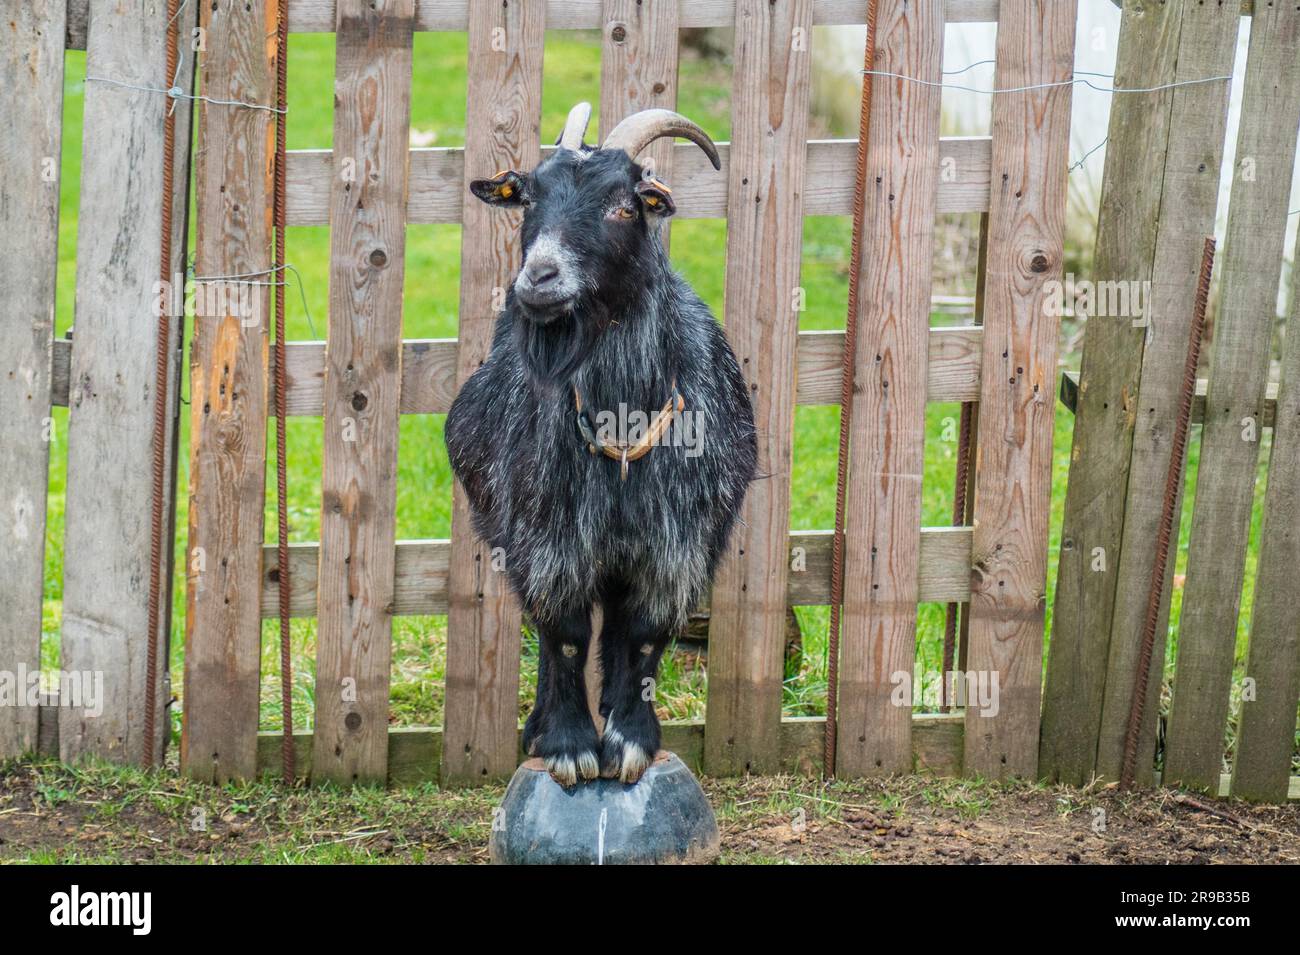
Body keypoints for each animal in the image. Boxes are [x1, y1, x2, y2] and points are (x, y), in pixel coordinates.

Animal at [445, 103, 757, 786]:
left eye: (624, 205)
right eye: (529, 196)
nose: (538, 278)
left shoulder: (676, 544)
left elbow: (642, 634)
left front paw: (631, 739)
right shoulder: (547, 540)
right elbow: (562, 634)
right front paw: (568, 744)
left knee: (614, 627)